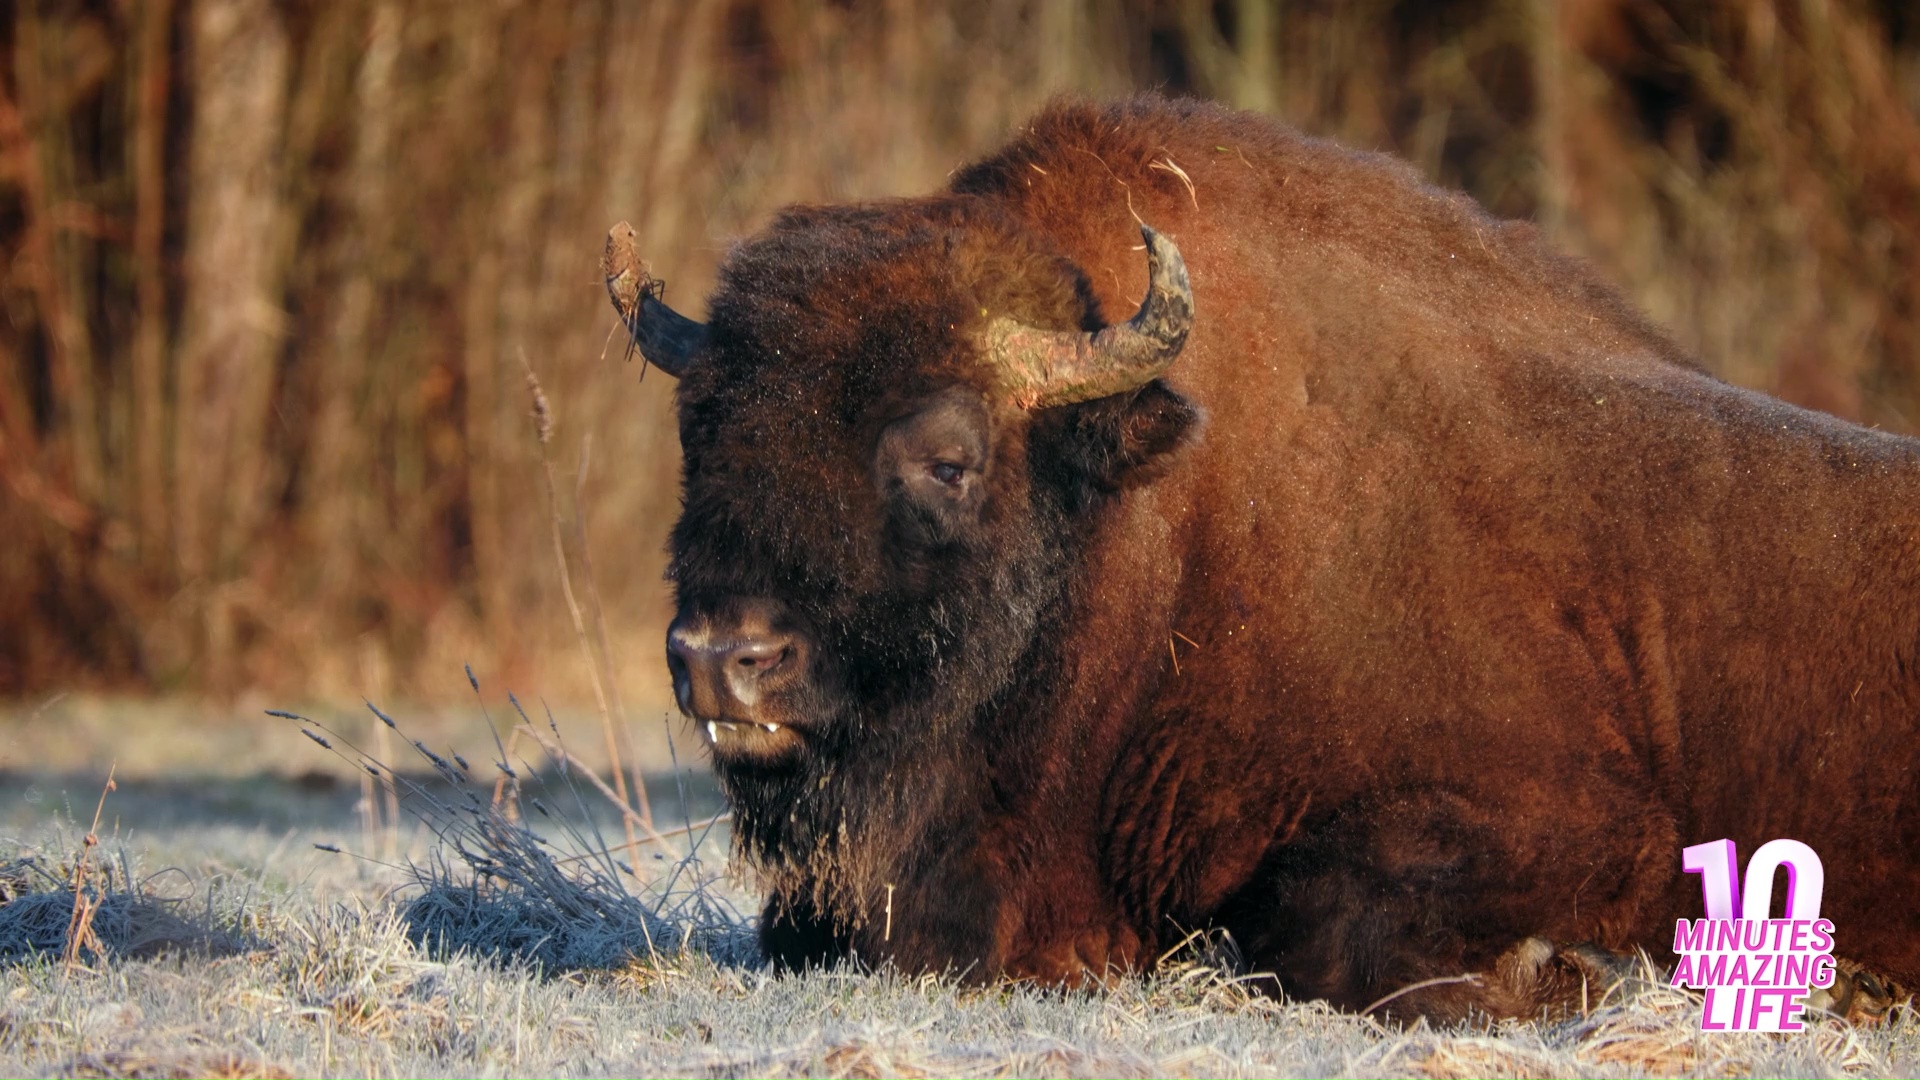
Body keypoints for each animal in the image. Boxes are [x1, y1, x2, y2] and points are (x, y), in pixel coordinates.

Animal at [603, 95, 1920, 1022]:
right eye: (699, 429)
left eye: (948, 456)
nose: (724, 658)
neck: (1162, 518)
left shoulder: (1575, 815)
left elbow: (1323, 928)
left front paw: (1575, 970)